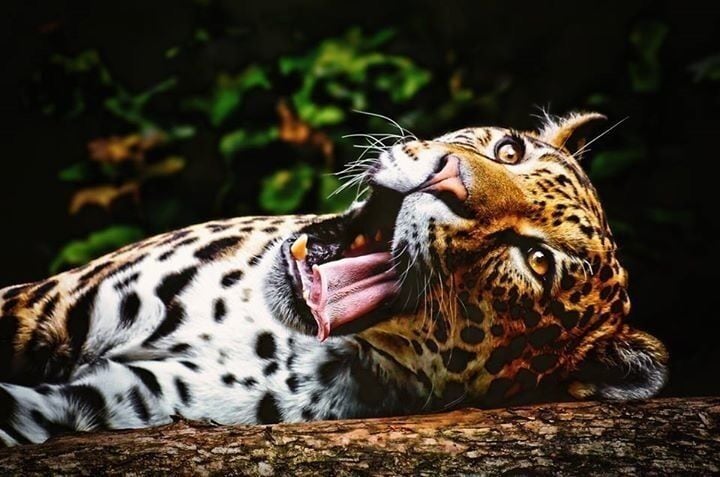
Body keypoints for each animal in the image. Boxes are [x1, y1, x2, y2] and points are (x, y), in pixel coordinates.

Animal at [0, 112, 668, 446]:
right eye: (509, 150)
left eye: (537, 261)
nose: (447, 179)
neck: (276, 334)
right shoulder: (44, 305)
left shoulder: (118, 398)